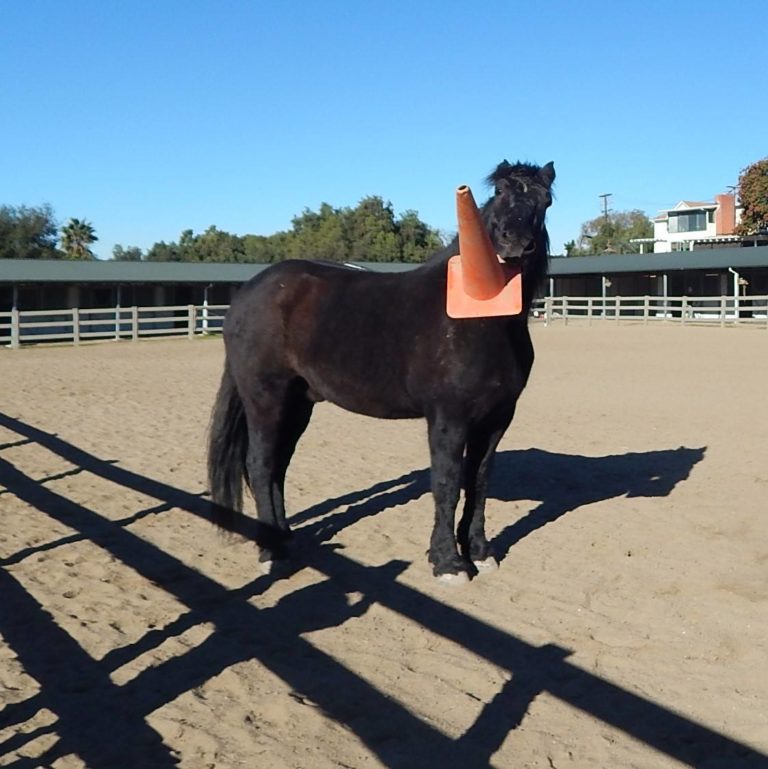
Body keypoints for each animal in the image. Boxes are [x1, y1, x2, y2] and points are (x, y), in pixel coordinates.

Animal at [208, 159, 555, 582]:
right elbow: (447, 483)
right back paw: (271, 551)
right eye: (500, 192)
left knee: (278, 467)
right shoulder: (448, 418)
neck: (480, 316)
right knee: (260, 464)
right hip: (265, 398)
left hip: (298, 403)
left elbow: (479, 481)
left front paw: (480, 552)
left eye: (545, 200)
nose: (514, 242)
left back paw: (287, 539)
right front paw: (448, 563)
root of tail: (245, 294)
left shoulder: (496, 419)